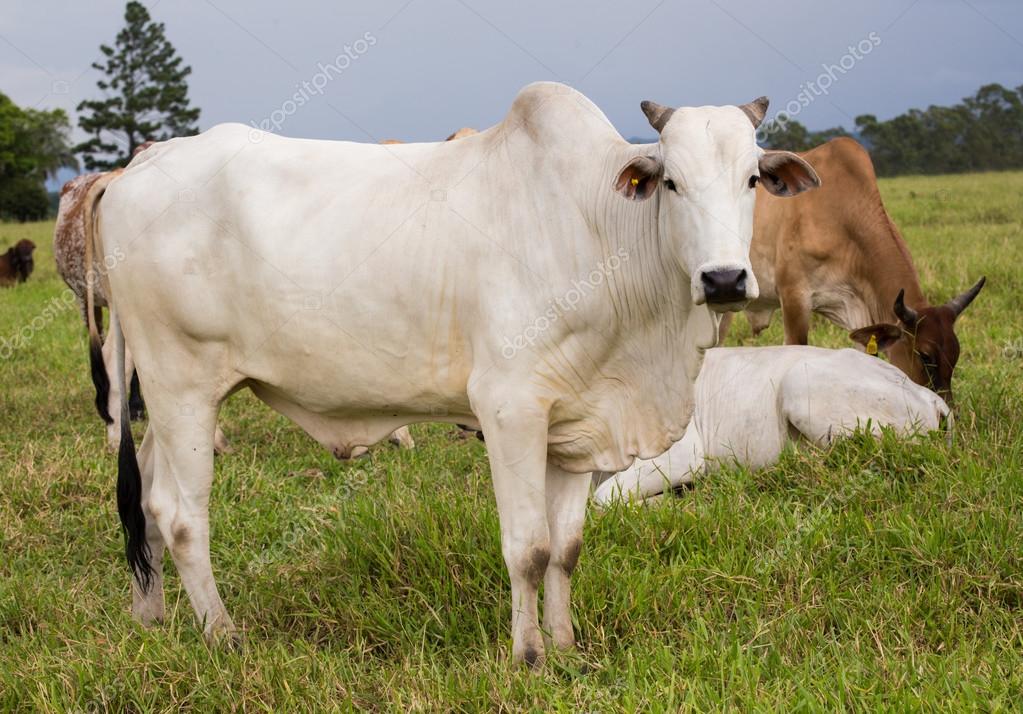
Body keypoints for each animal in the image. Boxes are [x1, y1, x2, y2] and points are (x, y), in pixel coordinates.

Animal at [90, 82, 819, 665]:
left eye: (752, 179)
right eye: (670, 182)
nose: (723, 279)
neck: (597, 232)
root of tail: (138, 165)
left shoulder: (576, 426)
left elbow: (566, 548)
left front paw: (566, 646)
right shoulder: (509, 409)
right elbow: (528, 548)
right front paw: (528, 656)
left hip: (168, 401)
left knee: (147, 501)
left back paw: (152, 617)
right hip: (183, 387)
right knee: (182, 515)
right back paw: (222, 635)